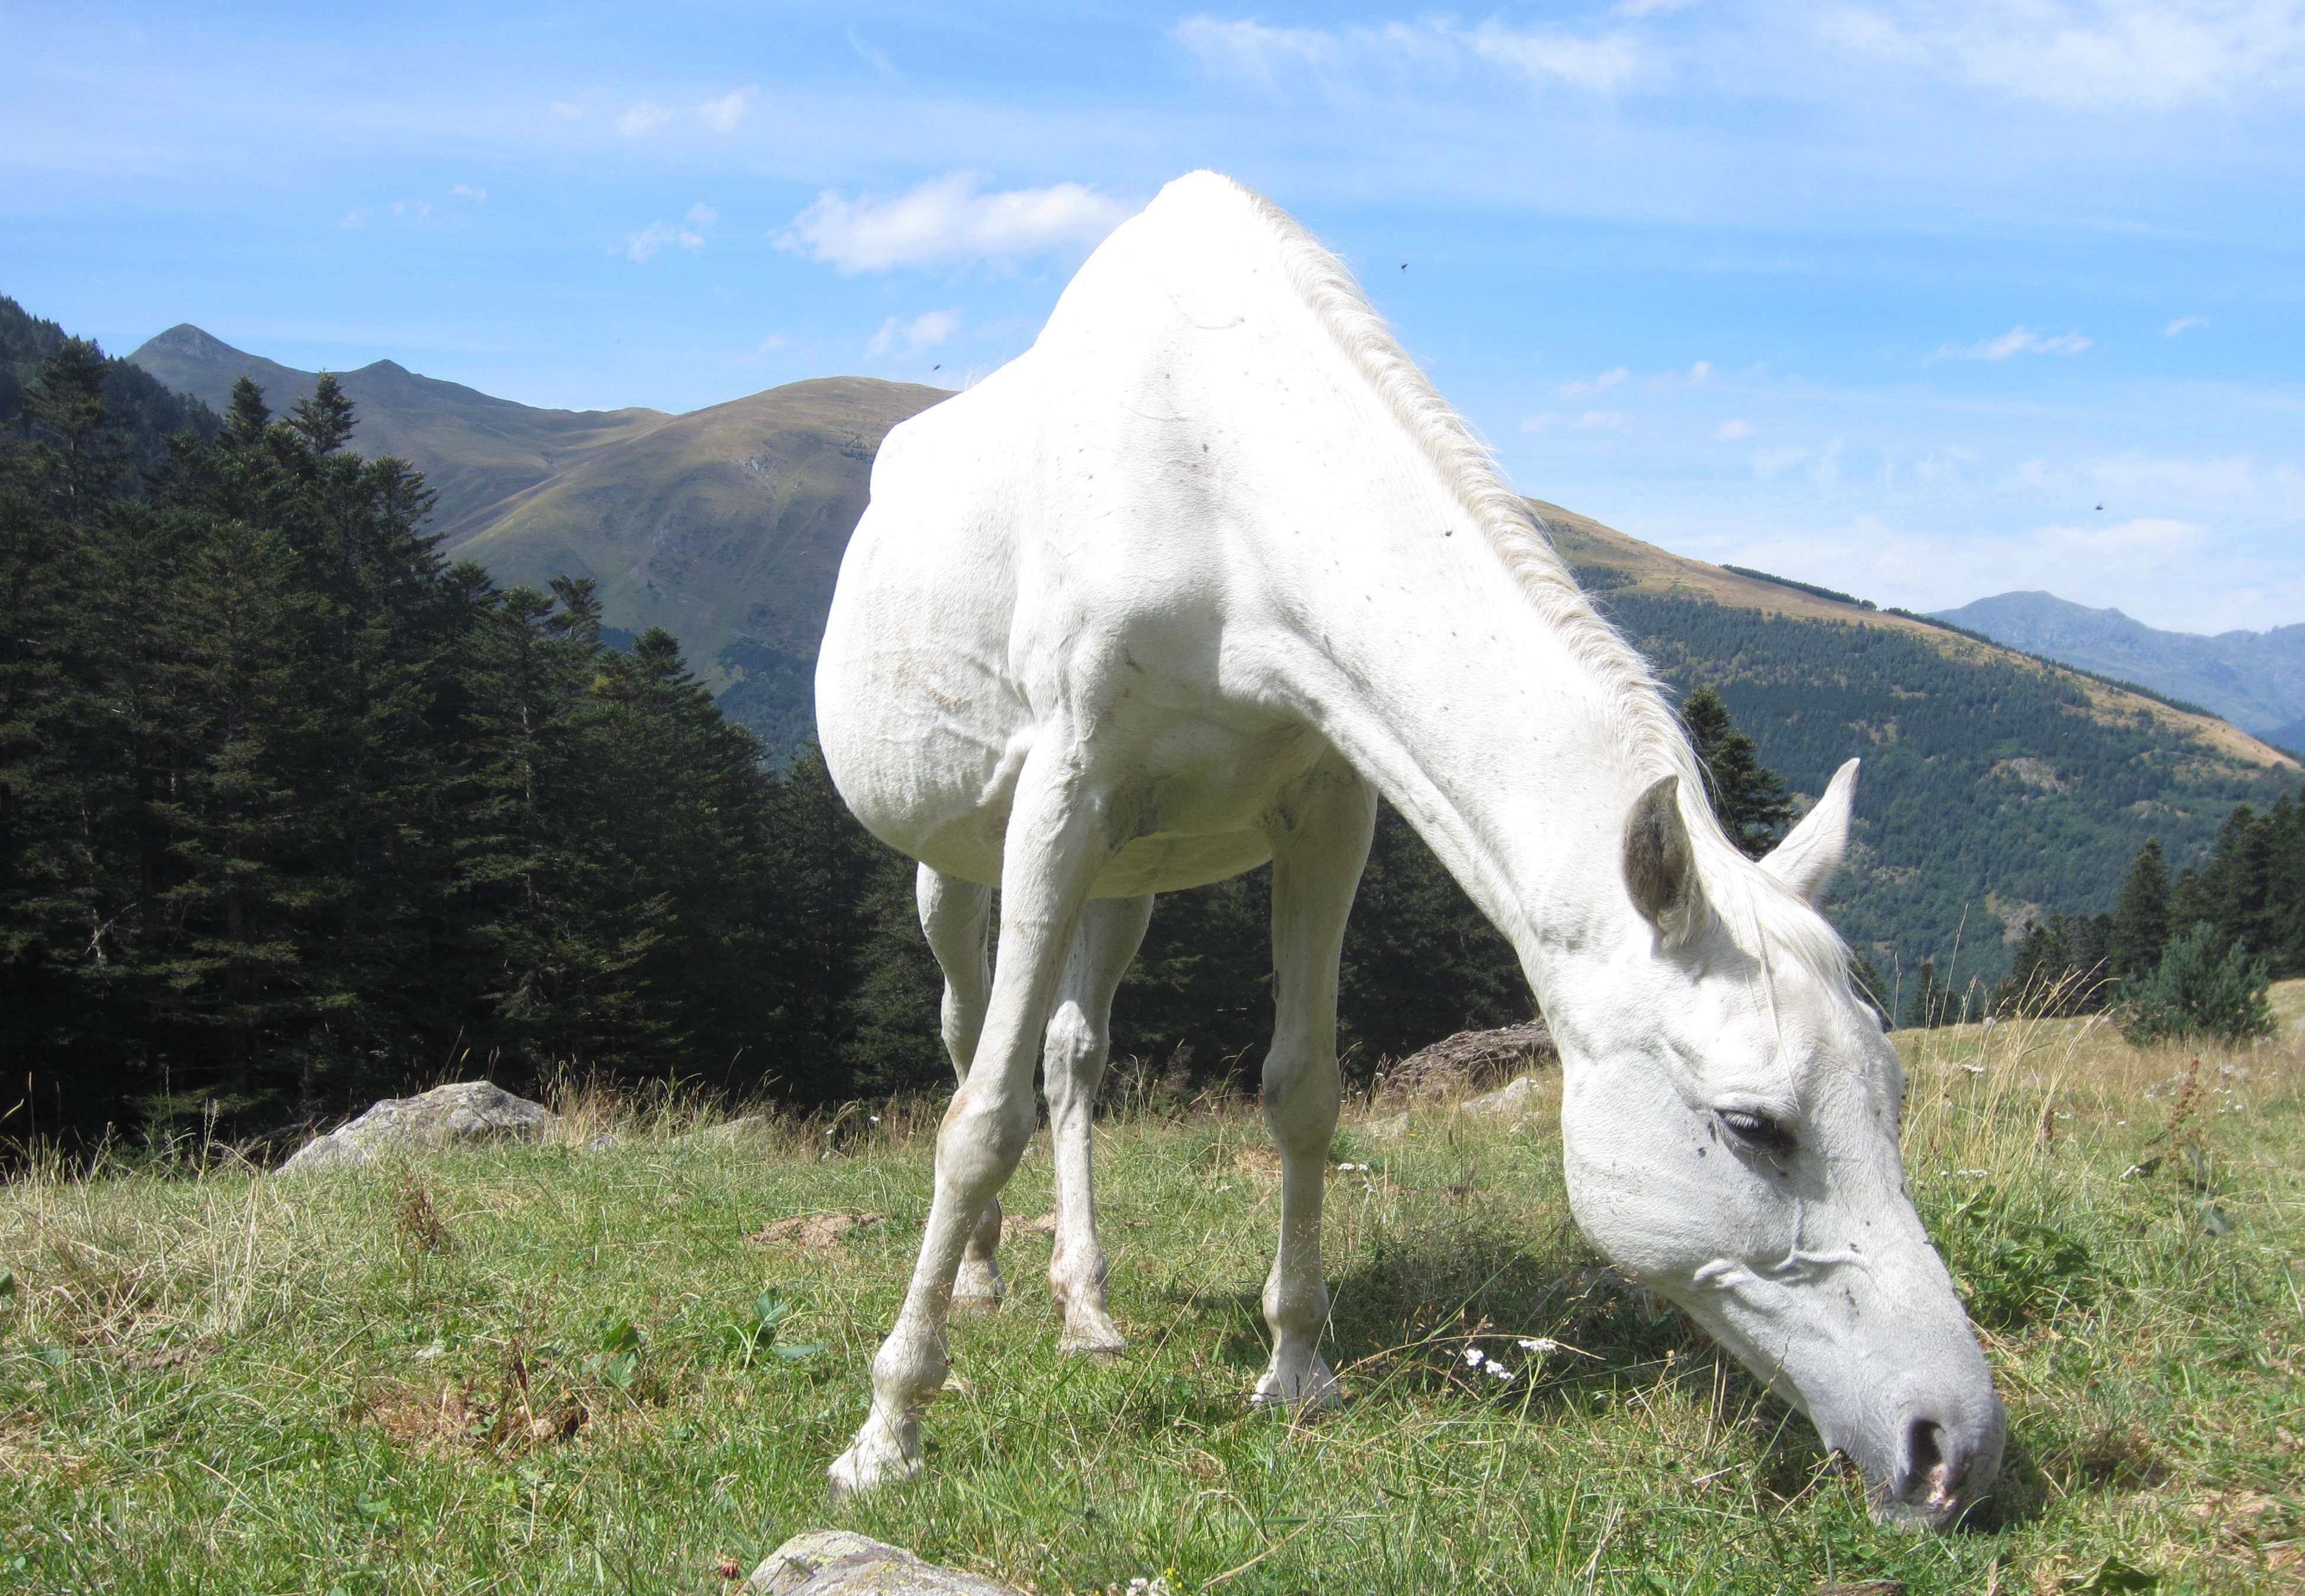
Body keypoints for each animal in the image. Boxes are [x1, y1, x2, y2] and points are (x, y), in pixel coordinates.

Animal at [813, 171, 2004, 1528]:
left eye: (1892, 1088)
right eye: (1754, 1125)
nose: (1950, 1447)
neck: (1217, 473)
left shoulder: (1328, 808)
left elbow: (1300, 1092)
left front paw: (1296, 1369)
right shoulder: (1064, 789)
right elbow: (974, 1121)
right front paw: (887, 1427)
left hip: (1129, 872)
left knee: (1070, 1057)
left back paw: (1088, 1306)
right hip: (961, 858)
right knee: (972, 1036)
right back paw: (981, 1281)